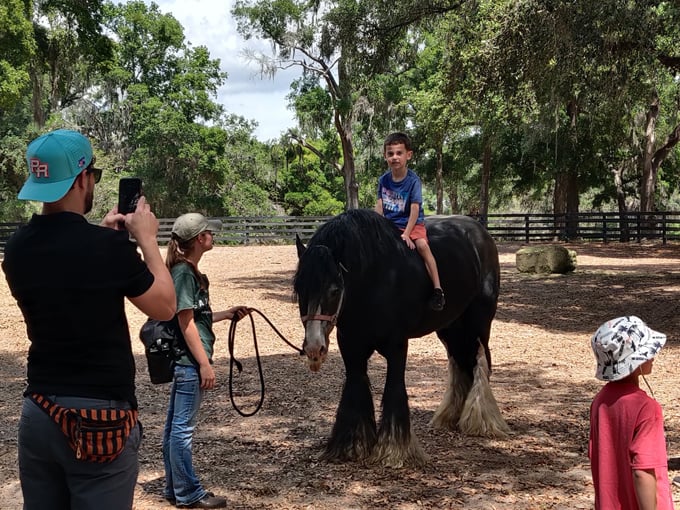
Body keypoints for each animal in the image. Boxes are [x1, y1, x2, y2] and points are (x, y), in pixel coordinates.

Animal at [293, 209, 509, 468]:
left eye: (335, 289)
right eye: (298, 288)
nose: (314, 348)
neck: (373, 279)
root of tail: (481, 234)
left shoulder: (397, 346)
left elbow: (394, 389)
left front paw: (394, 450)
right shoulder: (352, 349)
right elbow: (355, 390)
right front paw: (350, 447)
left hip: (479, 324)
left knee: (480, 361)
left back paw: (480, 420)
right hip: (452, 328)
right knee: (462, 363)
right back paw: (453, 417)